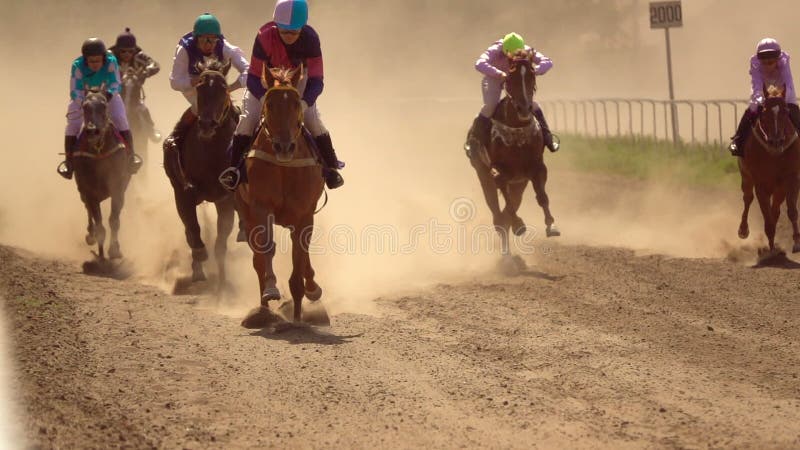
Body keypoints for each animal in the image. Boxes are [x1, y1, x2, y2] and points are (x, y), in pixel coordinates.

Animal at [71, 87, 133, 262]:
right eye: (84, 106)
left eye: (104, 106)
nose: (92, 131)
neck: (99, 152)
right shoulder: (89, 191)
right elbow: (99, 225)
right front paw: (100, 252)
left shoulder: (118, 188)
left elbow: (114, 220)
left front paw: (114, 249)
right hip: (82, 191)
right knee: (88, 210)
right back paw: (90, 235)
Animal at [164, 60, 238, 291]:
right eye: (199, 87)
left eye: (224, 88)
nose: (206, 124)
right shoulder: (183, 194)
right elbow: (192, 229)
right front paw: (199, 258)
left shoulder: (226, 200)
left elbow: (221, 242)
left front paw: (222, 282)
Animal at [236, 65, 328, 328]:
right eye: (269, 103)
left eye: (297, 104)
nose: (284, 147)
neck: (285, 167)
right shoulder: (260, 208)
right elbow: (267, 248)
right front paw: (271, 290)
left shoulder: (305, 214)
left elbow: (300, 257)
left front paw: (298, 315)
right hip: (245, 212)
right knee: (258, 259)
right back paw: (262, 310)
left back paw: (312, 289)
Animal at [465, 52, 559, 271]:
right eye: (510, 78)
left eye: (532, 75)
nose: (525, 108)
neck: (516, 129)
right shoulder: (497, 172)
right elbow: (504, 203)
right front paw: (519, 224)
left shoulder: (536, 168)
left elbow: (542, 196)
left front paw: (551, 225)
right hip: (483, 176)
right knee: (498, 216)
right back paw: (507, 258)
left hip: (519, 184)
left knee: (507, 211)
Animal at [737, 83, 800, 258]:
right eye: (764, 112)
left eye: (785, 111)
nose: (776, 141)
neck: (774, 154)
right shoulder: (760, 183)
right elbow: (767, 216)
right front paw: (771, 250)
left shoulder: (791, 178)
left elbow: (791, 210)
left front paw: (796, 243)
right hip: (746, 176)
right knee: (747, 198)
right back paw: (743, 230)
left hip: (779, 188)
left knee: (776, 210)